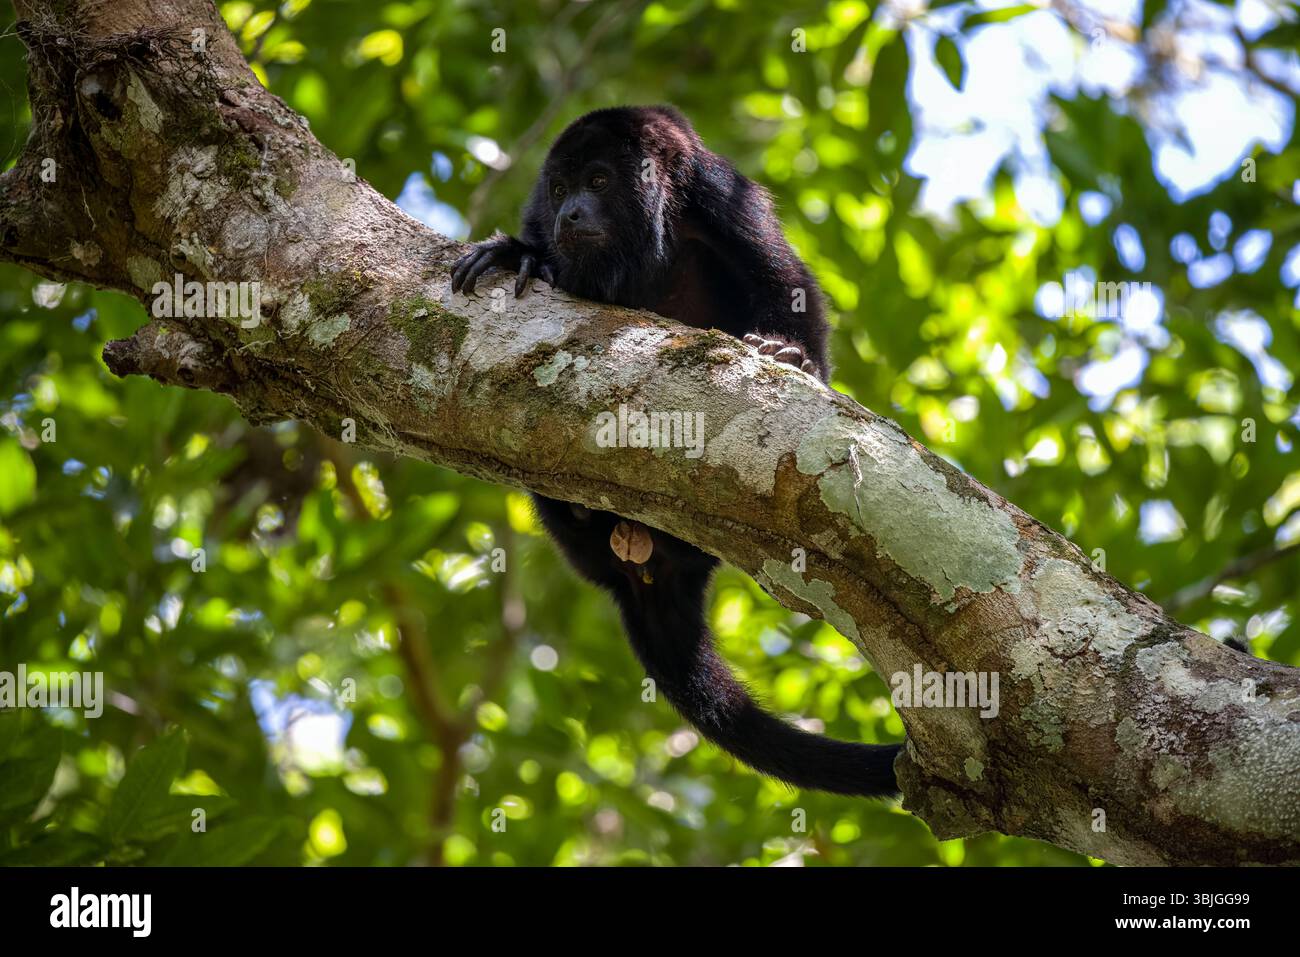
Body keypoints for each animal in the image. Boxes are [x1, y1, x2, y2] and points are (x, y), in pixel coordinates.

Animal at [452, 106, 900, 798]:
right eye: (559, 188)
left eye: (599, 181)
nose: (569, 214)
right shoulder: (536, 212)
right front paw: (516, 253)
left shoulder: (721, 195)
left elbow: (785, 282)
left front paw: (795, 356)